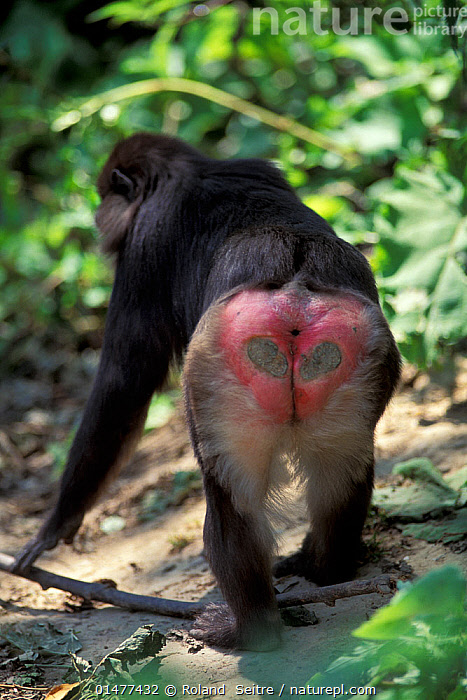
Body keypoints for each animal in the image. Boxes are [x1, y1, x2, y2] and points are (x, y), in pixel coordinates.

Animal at [12, 132, 401, 651]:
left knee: (229, 497)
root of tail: (295, 287)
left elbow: (123, 381)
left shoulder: (143, 246)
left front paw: (55, 527)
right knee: (344, 474)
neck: (187, 170)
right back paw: (325, 570)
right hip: (359, 365)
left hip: (215, 372)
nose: (98, 218)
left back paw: (250, 626)